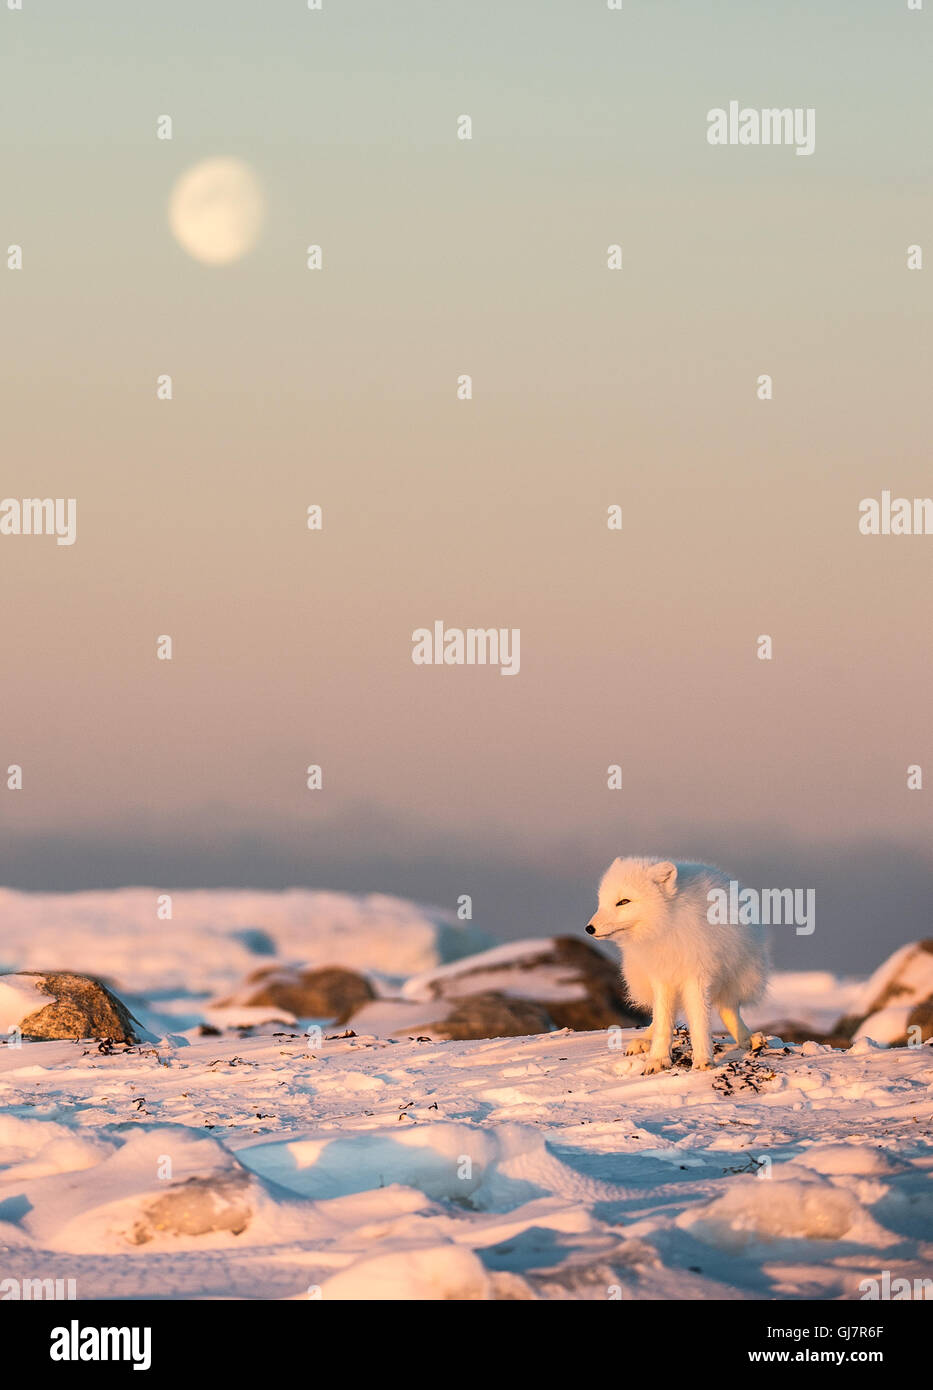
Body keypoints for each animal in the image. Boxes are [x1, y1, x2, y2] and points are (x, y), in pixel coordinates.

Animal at [586, 857, 769, 1073]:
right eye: (602, 902)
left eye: (623, 902)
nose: (589, 928)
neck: (667, 925)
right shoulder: (661, 977)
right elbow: (663, 1020)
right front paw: (658, 1059)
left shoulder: (696, 975)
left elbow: (699, 1020)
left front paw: (703, 1060)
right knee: (659, 1017)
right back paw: (644, 1041)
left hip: (739, 975)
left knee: (728, 1009)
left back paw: (748, 1039)